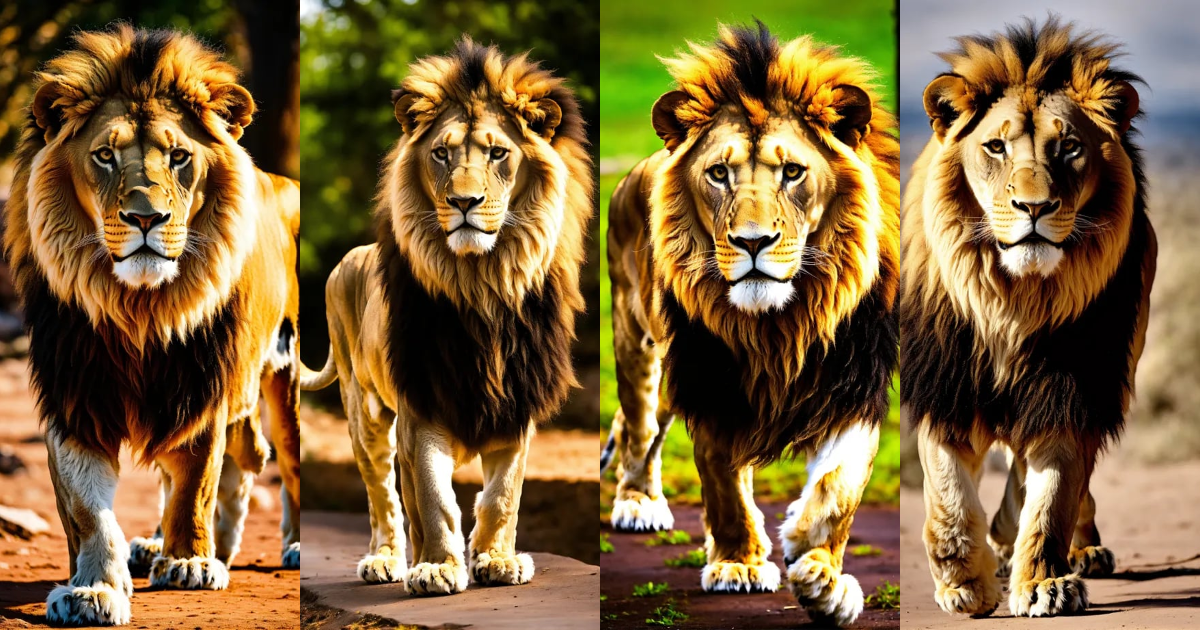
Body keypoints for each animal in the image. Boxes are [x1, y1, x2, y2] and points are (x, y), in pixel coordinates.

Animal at [3, 26, 302, 626]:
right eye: (104, 156)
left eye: (180, 157)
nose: (146, 218)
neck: (140, 311)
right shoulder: (74, 397)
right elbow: (87, 509)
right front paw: (93, 587)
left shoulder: (202, 387)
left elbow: (196, 483)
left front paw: (189, 563)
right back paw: (165, 545)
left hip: (285, 375)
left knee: (285, 460)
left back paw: (283, 544)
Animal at [299, 38, 592, 595]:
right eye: (441, 153)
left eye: (498, 153)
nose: (464, 202)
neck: (482, 284)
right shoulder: (420, 409)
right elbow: (433, 498)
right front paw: (436, 566)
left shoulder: (516, 405)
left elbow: (502, 496)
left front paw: (497, 560)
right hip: (364, 413)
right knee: (383, 497)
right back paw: (387, 559)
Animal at [602, 23, 899, 626]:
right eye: (719, 174)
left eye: (793, 173)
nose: (753, 242)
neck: (776, 328)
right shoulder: (710, 383)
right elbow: (723, 480)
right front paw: (738, 562)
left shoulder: (853, 384)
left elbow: (841, 485)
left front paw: (818, 569)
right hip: (637, 341)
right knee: (639, 424)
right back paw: (638, 502)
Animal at [902, 17, 1155, 618]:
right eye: (995, 147)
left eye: (1069, 148)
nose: (1034, 208)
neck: (1011, 302)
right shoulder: (944, 386)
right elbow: (948, 494)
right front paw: (962, 583)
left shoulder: (1072, 391)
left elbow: (1053, 497)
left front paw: (1043, 582)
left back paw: (1072, 551)